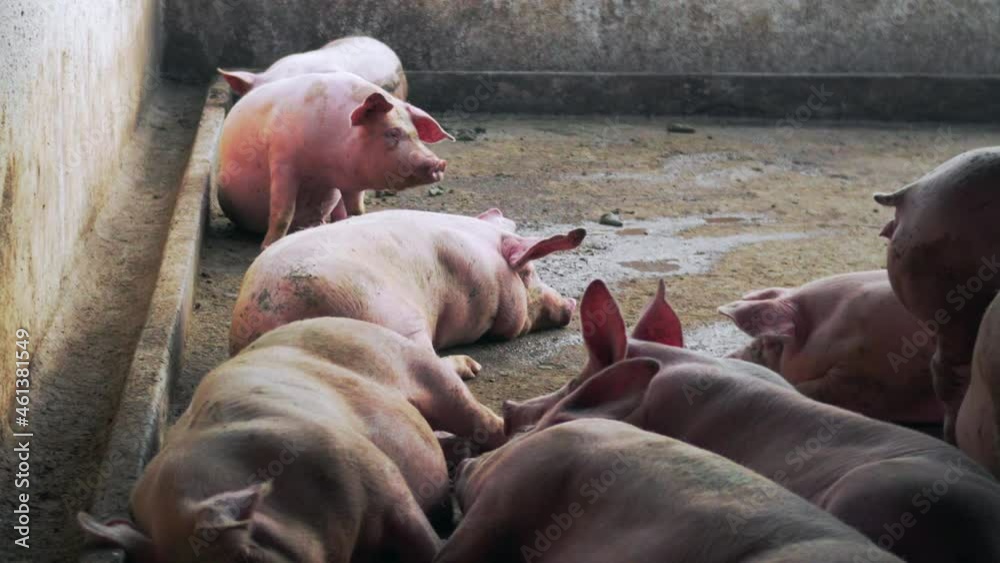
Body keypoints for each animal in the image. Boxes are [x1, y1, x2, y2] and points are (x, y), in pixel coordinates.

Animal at [213, 71, 453, 248]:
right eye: (392, 133)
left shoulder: (351, 182)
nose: (439, 163)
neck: (327, 168)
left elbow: (357, 211)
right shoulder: (283, 161)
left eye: (415, 134)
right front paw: (266, 248)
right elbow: (283, 211)